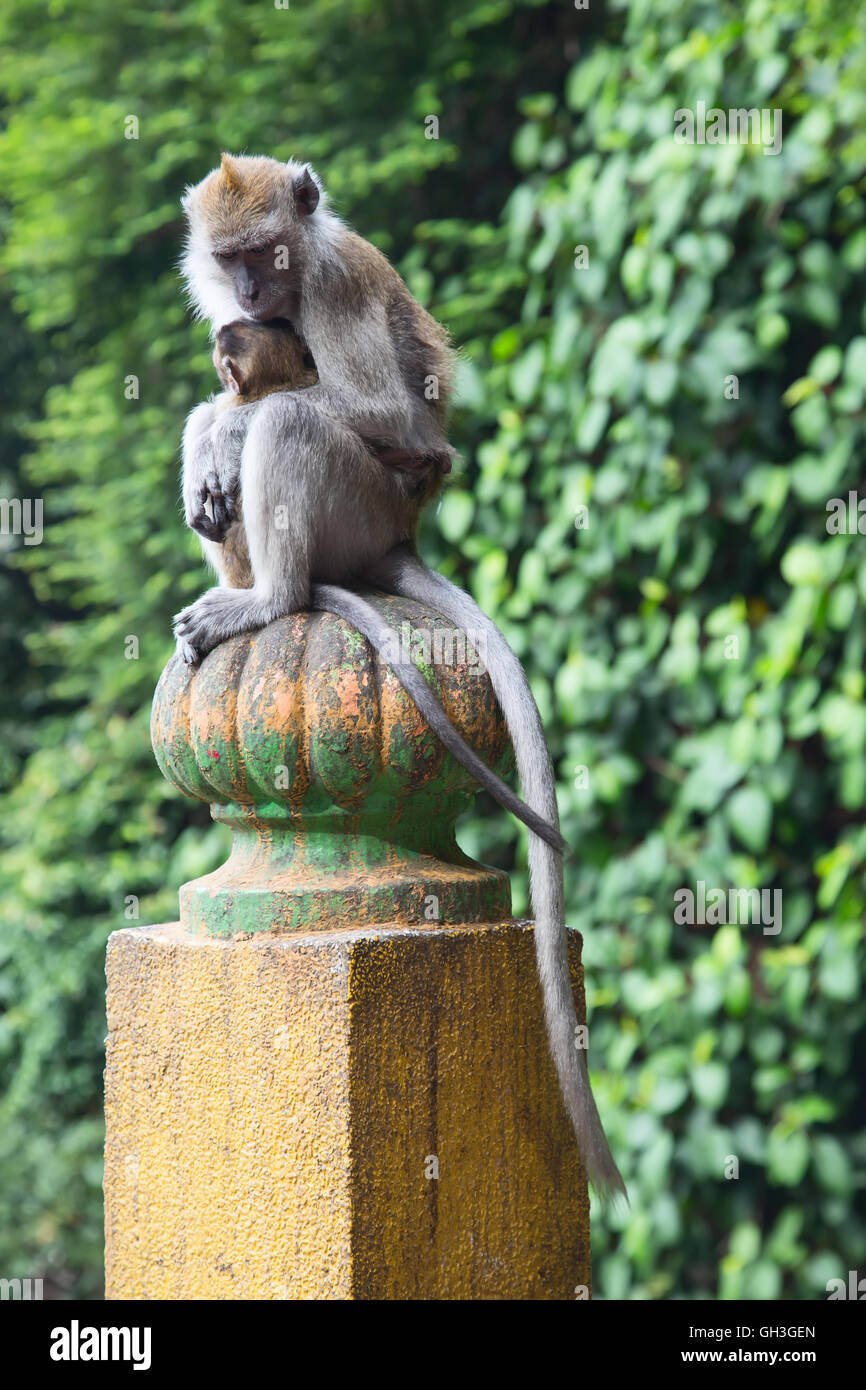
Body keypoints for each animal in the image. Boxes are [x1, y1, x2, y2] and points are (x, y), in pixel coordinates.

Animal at [174, 153, 626, 1200]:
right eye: (231, 258)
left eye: (270, 255)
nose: (249, 294)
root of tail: (397, 541)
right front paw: (209, 426)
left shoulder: (335, 287)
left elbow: (377, 413)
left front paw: (230, 423)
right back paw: (250, 570)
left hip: (361, 502)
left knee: (295, 424)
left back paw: (272, 593)